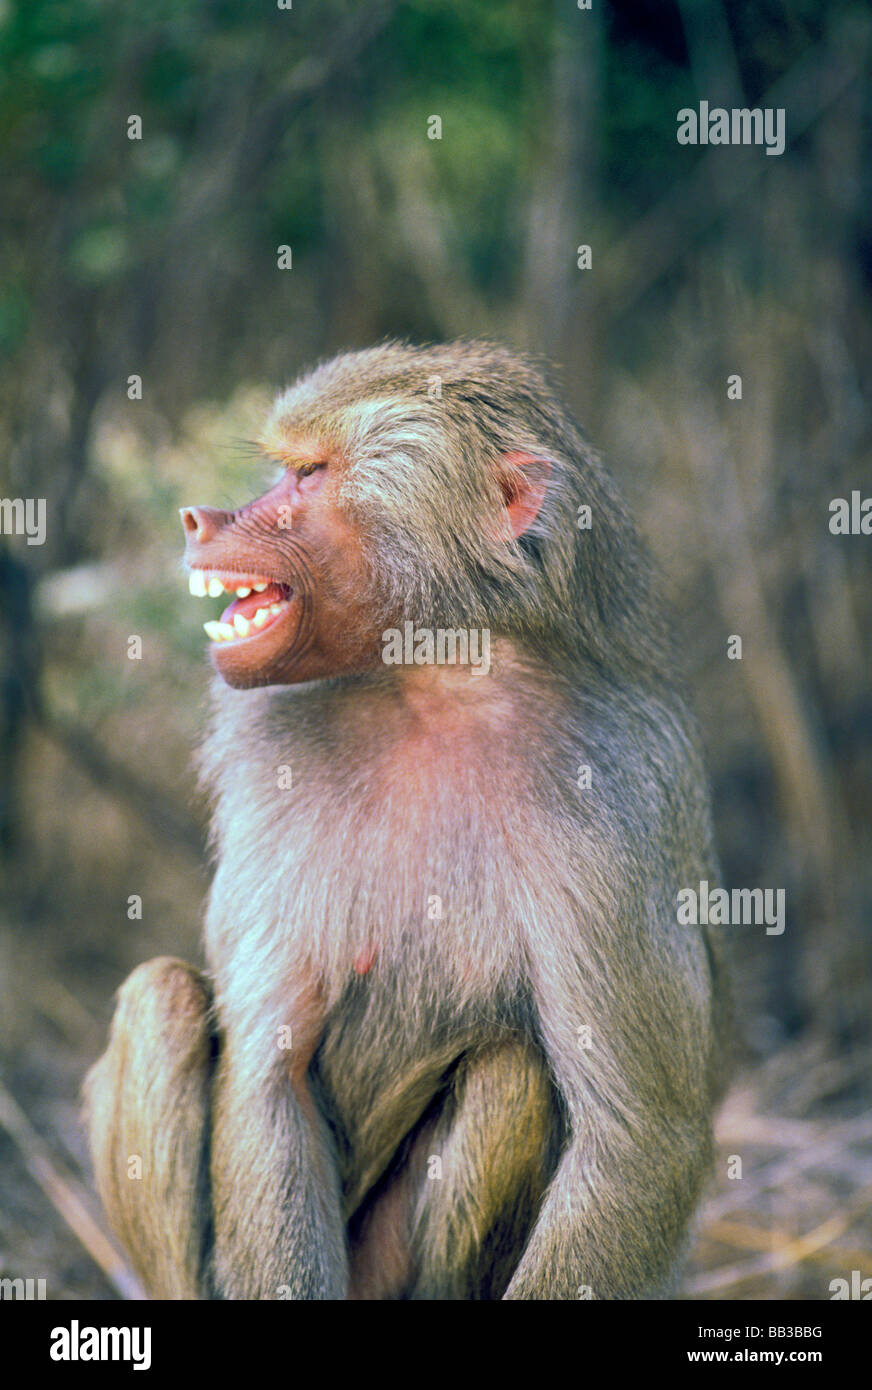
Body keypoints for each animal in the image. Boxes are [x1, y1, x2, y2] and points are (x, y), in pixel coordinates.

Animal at [84, 340, 730, 1300]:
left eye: (310, 476)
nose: (199, 519)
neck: (439, 679)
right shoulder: (265, 748)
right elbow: (269, 1070)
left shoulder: (623, 789)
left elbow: (641, 1139)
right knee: (161, 995)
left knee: (511, 1073)